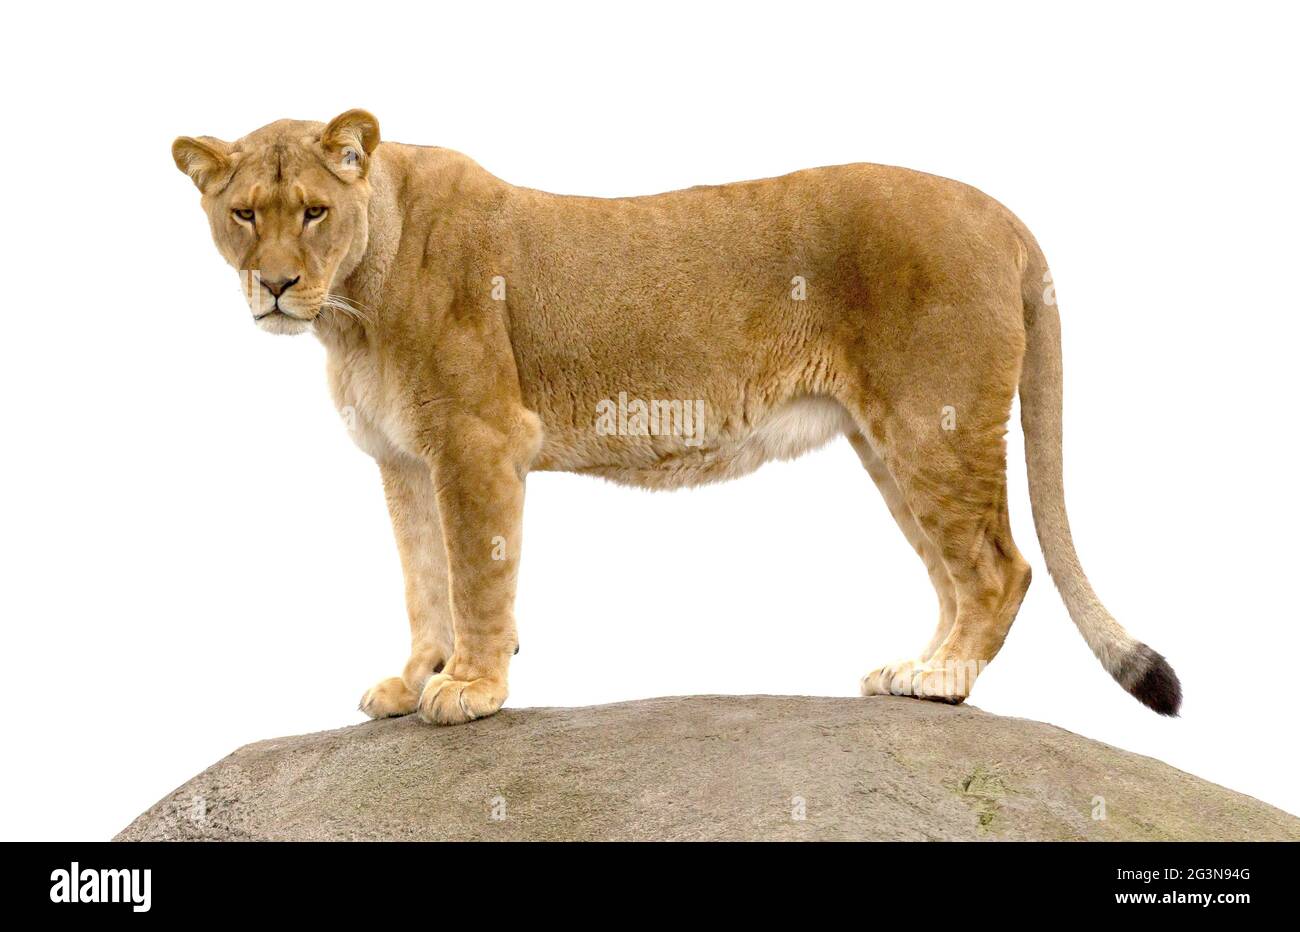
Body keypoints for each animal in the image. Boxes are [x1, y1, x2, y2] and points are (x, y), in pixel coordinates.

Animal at [172, 109, 1181, 725]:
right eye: (242, 214)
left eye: (313, 211)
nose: (275, 284)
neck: (350, 310)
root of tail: (1002, 211)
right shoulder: (405, 461)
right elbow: (425, 577)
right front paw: (417, 676)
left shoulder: (478, 441)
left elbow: (476, 576)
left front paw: (472, 688)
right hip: (887, 443)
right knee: (954, 574)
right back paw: (915, 674)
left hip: (933, 423)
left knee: (1001, 568)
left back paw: (940, 679)